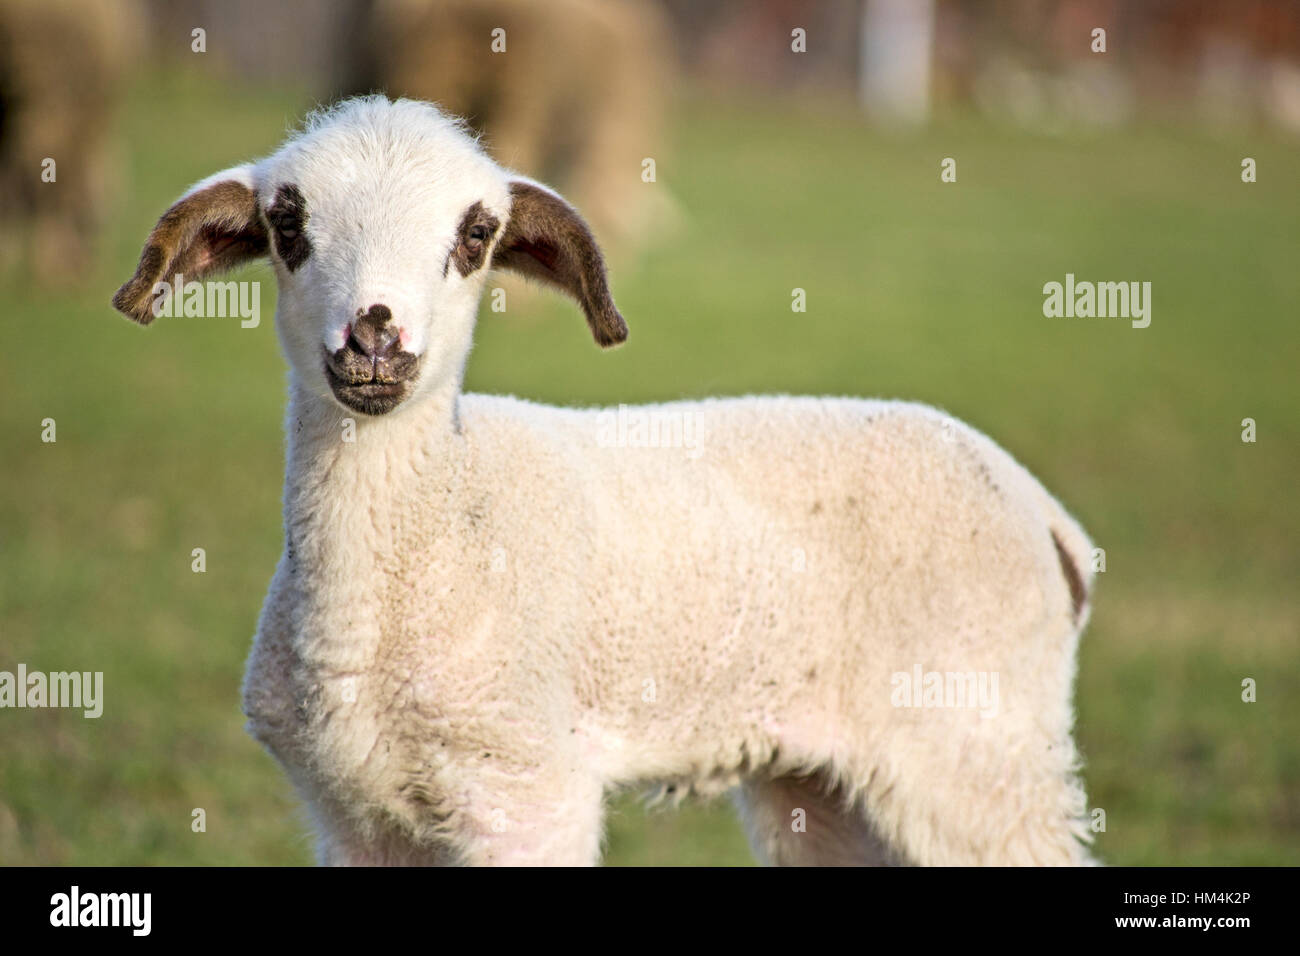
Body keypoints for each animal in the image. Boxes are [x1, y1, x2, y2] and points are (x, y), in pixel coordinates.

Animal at [111, 96, 1097, 866]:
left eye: (476, 236)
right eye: (288, 226)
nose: (374, 338)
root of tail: (1047, 518)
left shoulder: (525, 789)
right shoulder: (354, 817)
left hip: (979, 746)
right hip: (822, 783)